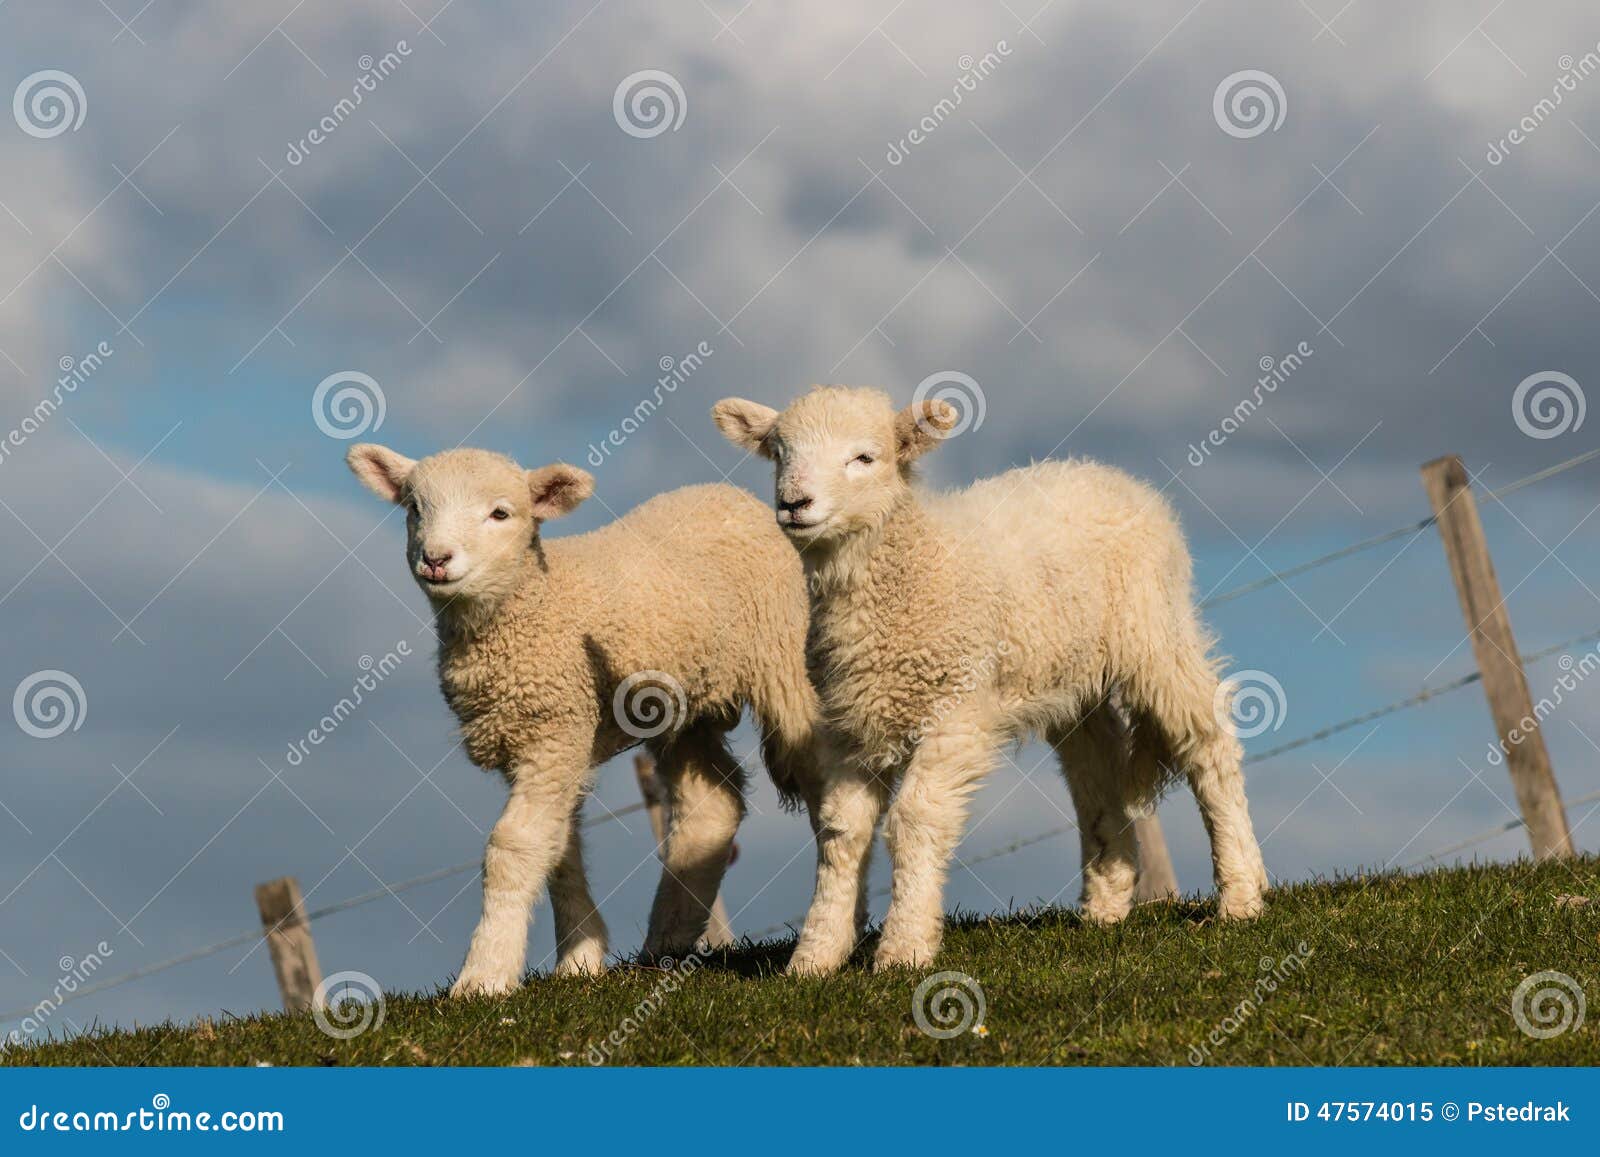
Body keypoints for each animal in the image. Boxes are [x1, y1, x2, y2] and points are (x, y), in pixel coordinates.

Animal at [347, 443, 832, 997]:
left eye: (500, 513)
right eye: (414, 509)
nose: (436, 558)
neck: (534, 605)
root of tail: (729, 495)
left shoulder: (553, 727)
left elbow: (515, 846)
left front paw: (485, 975)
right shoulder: (539, 738)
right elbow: (556, 846)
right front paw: (580, 959)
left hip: (786, 658)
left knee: (828, 784)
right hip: (684, 704)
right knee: (713, 803)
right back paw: (665, 941)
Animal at [712, 386, 1269, 974]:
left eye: (864, 457)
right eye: (779, 454)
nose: (795, 503)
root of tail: (1105, 473)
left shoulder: (955, 712)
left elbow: (914, 820)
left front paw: (905, 948)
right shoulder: (851, 723)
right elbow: (840, 831)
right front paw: (816, 955)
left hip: (1154, 633)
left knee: (1208, 741)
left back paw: (1240, 894)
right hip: (1070, 676)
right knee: (1095, 770)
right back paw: (1107, 901)